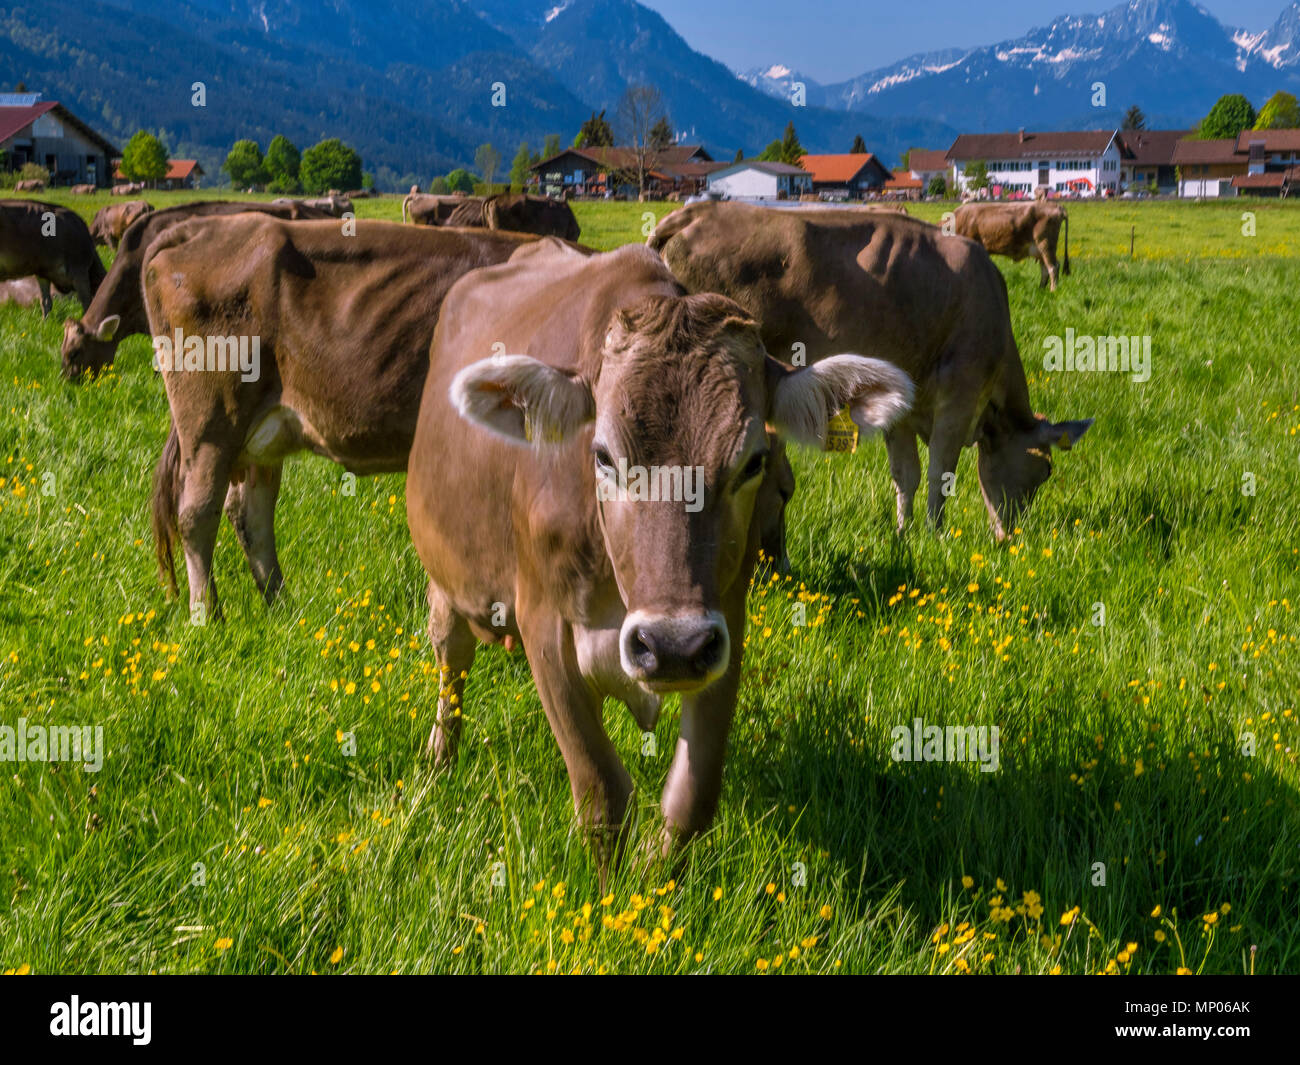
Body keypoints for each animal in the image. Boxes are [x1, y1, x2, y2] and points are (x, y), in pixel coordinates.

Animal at [143, 216, 545, 617]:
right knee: (197, 512)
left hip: (257, 434)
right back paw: (208, 614)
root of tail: (201, 226)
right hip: (210, 421)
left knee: (248, 512)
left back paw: (282, 606)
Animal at [404, 239, 912, 867]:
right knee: (451, 661)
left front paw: (653, 873)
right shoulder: (543, 621)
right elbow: (601, 793)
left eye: (754, 461)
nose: (670, 646)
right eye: (601, 455)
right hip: (445, 581)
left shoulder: (723, 628)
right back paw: (439, 758)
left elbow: (690, 801)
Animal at [649, 201, 1092, 543]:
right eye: (1045, 470)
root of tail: (694, 212)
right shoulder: (960, 395)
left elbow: (907, 474)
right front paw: (935, 534)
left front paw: (904, 534)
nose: (1009, 538)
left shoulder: (904, 404)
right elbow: (940, 472)